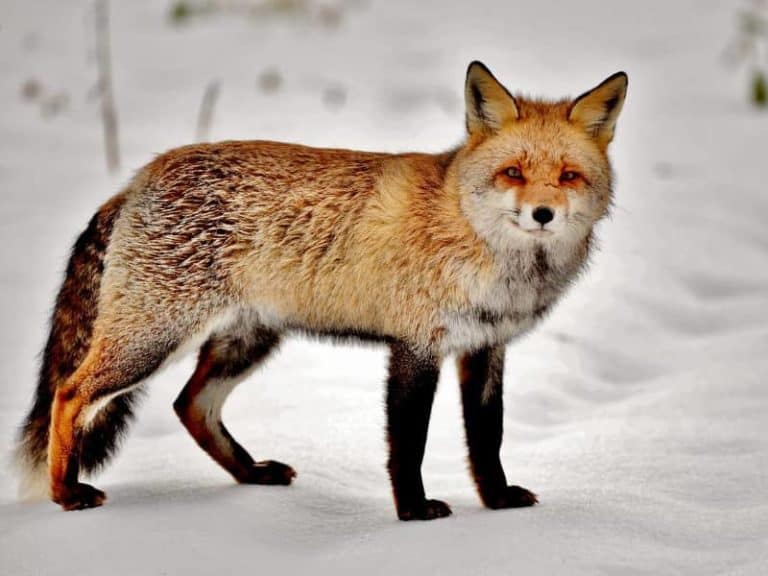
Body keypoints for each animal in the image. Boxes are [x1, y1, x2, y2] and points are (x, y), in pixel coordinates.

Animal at [15, 62, 627, 520]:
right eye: (513, 173)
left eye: (569, 176)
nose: (543, 213)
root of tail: (136, 180)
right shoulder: (415, 346)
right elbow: (409, 442)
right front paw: (414, 512)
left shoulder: (484, 346)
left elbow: (487, 437)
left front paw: (496, 502)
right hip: (152, 339)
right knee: (70, 393)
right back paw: (65, 494)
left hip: (247, 341)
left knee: (189, 406)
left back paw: (251, 473)